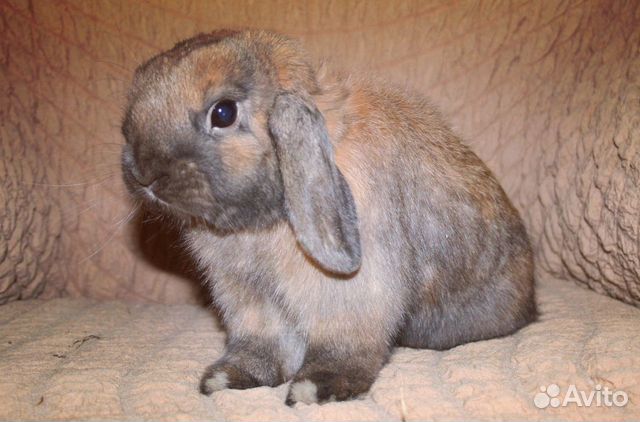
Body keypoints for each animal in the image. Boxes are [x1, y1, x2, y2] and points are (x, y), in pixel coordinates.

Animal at [121, 29, 536, 405]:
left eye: (223, 113)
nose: (144, 173)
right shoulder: (250, 299)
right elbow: (262, 344)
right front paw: (226, 378)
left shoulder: (351, 296)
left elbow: (342, 344)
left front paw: (315, 388)